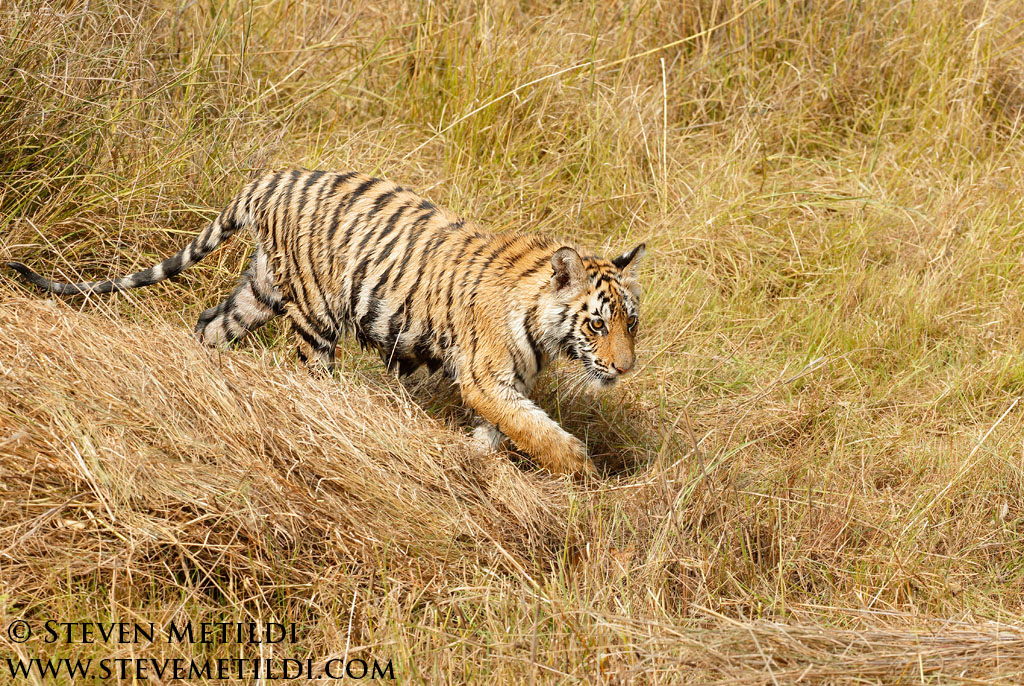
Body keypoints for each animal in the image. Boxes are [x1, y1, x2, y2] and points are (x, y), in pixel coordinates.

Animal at [6, 170, 645, 476]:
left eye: (631, 324)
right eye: (597, 326)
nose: (624, 369)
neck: (544, 325)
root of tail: (268, 179)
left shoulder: (504, 384)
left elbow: (501, 432)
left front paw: (478, 466)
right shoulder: (488, 378)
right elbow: (535, 428)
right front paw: (580, 469)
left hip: (259, 291)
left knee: (210, 324)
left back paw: (202, 377)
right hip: (315, 314)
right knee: (312, 375)